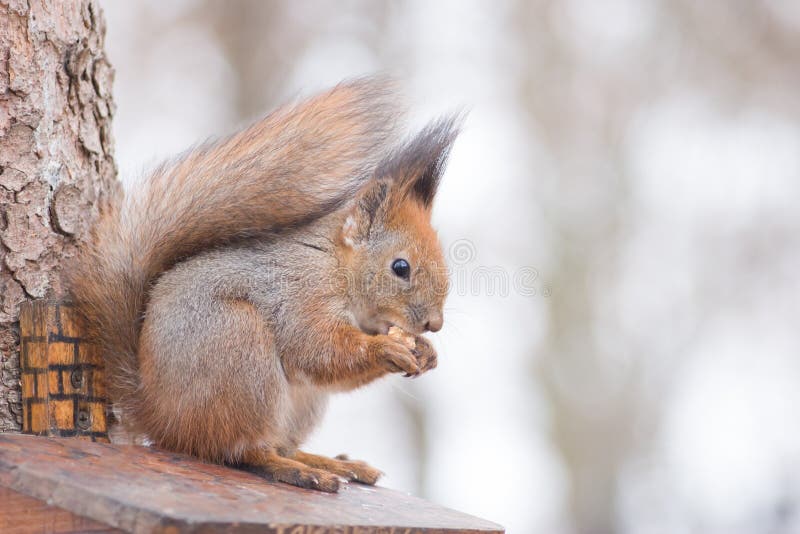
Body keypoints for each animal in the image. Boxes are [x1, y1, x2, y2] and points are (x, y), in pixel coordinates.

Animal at [67, 77, 460, 493]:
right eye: (400, 267)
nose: (434, 324)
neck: (336, 267)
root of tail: (159, 414)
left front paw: (426, 351)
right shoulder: (299, 293)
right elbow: (318, 349)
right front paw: (385, 348)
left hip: (301, 403)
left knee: (280, 443)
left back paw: (331, 463)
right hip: (241, 351)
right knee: (242, 450)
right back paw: (296, 470)